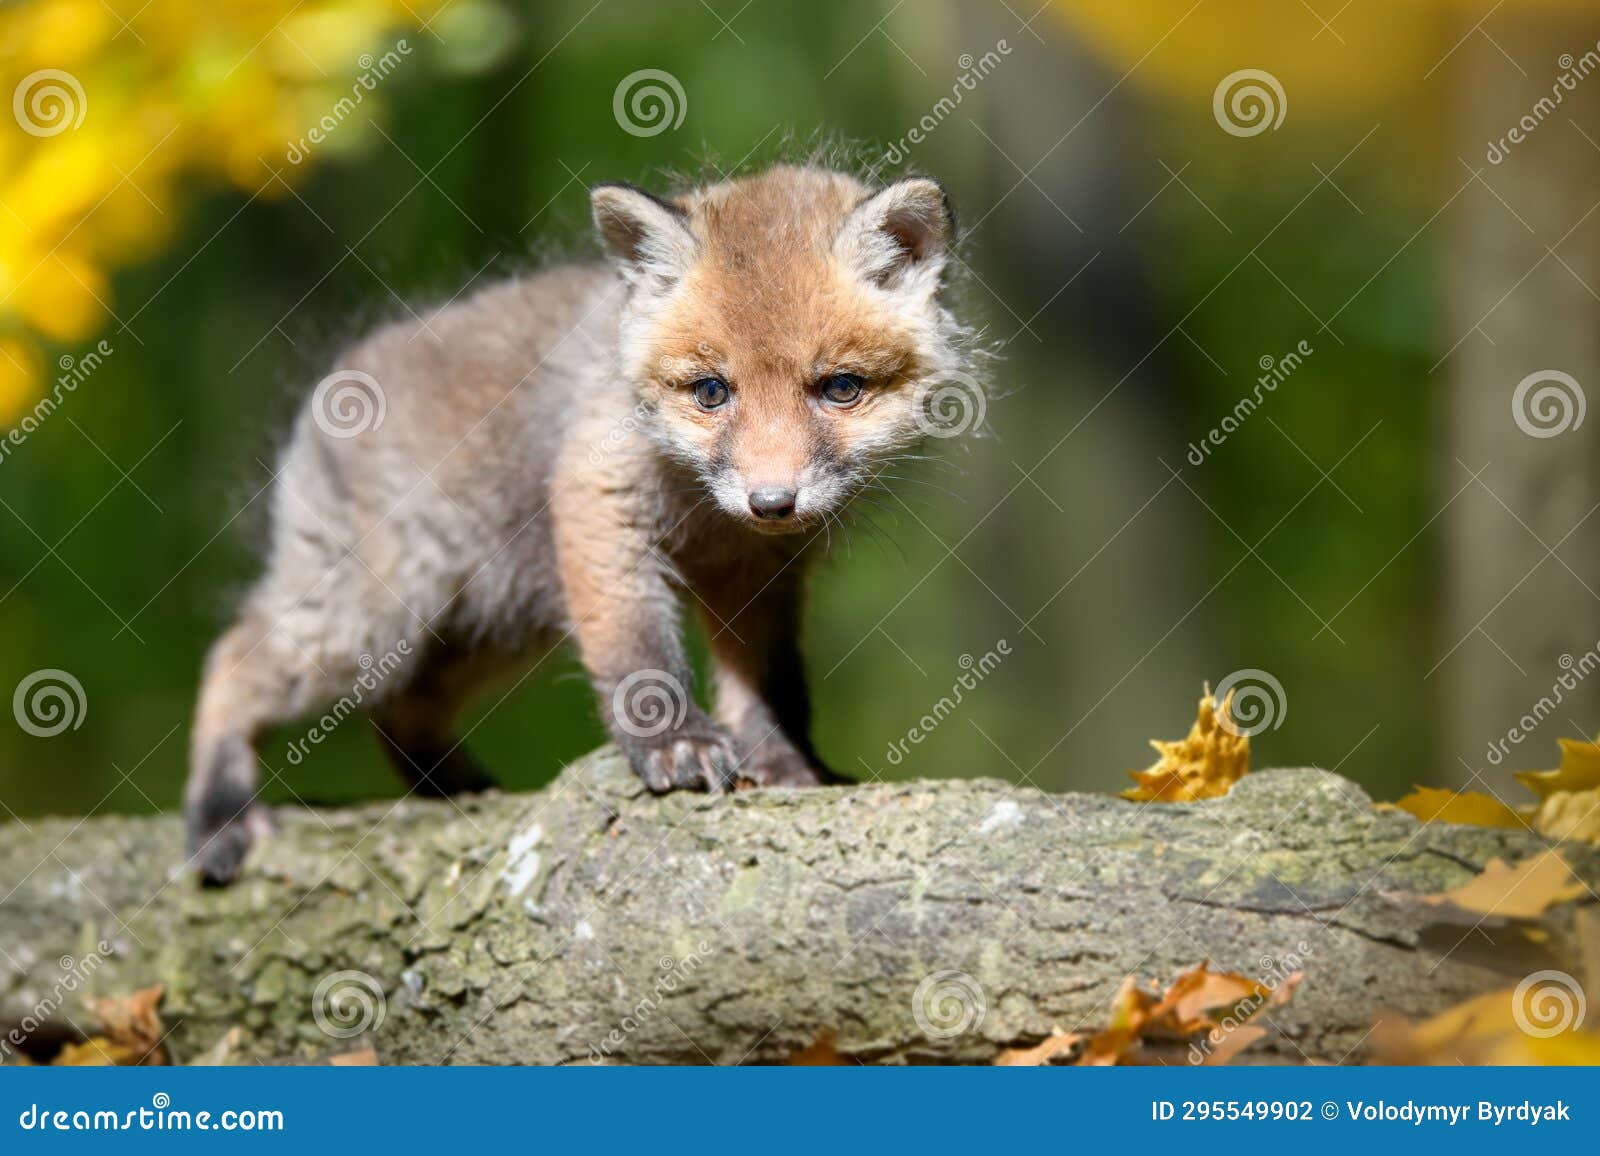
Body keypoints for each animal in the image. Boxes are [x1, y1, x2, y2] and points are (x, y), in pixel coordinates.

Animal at [184, 164, 975, 883]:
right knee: (233, 657)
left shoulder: (756, 575)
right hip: (374, 618)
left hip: (487, 627)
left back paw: (457, 790)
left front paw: (784, 765)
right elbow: (639, 657)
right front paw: (677, 746)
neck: (707, 515)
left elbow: (768, 685)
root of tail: (335, 381)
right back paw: (218, 815)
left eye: (840, 388)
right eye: (710, 391)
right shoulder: (600, 502)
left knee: (399, 708)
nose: (771, 502)